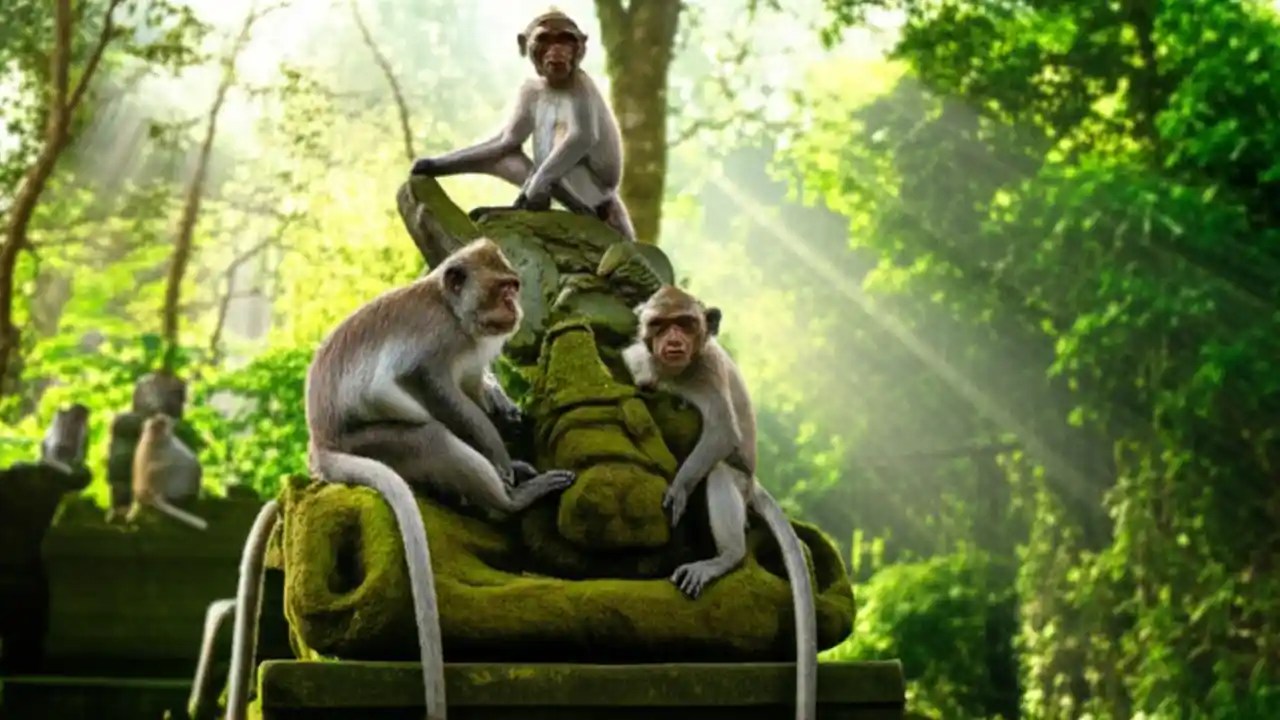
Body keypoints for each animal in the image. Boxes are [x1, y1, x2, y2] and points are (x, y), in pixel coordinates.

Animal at [409, 10, 637, 242]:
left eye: (566, 39)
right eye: (546, 39)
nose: (557, 50)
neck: (554, 85)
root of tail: (611, 195)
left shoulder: (581, 83)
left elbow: (582, 138)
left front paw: (532, 194)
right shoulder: (529, 88)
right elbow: (507, 141)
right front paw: (429, 164)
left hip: (592, 189)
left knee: (564, 135)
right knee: (507, 155)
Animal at [622, 285, 818, 720]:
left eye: (684, 323)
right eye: (660, 324)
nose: (672, 340)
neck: (676, 373)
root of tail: (754, 481)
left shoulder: (709, 370)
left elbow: (721, 430)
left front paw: (679, 488)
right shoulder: (641, 358)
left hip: (739, 481)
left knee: (719, 473)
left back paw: (725, 557)